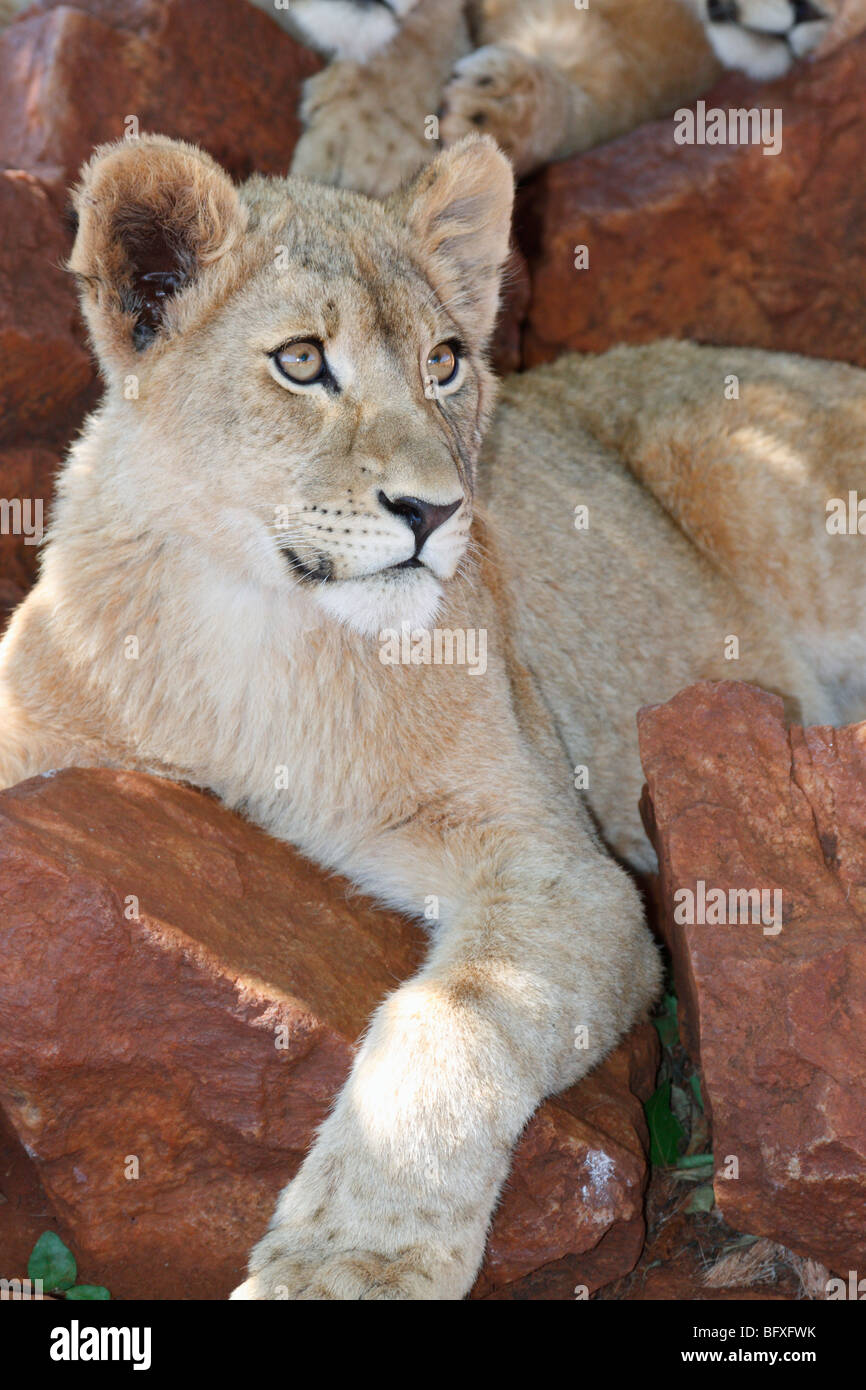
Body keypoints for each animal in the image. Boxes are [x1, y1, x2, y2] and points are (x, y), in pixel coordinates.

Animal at [1, 133, 864, 1299]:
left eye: (444, 362)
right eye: (302, 362)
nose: (434, 509)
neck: (253, 624)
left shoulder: (565, 870)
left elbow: (446, 1022)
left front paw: (348, 1263)